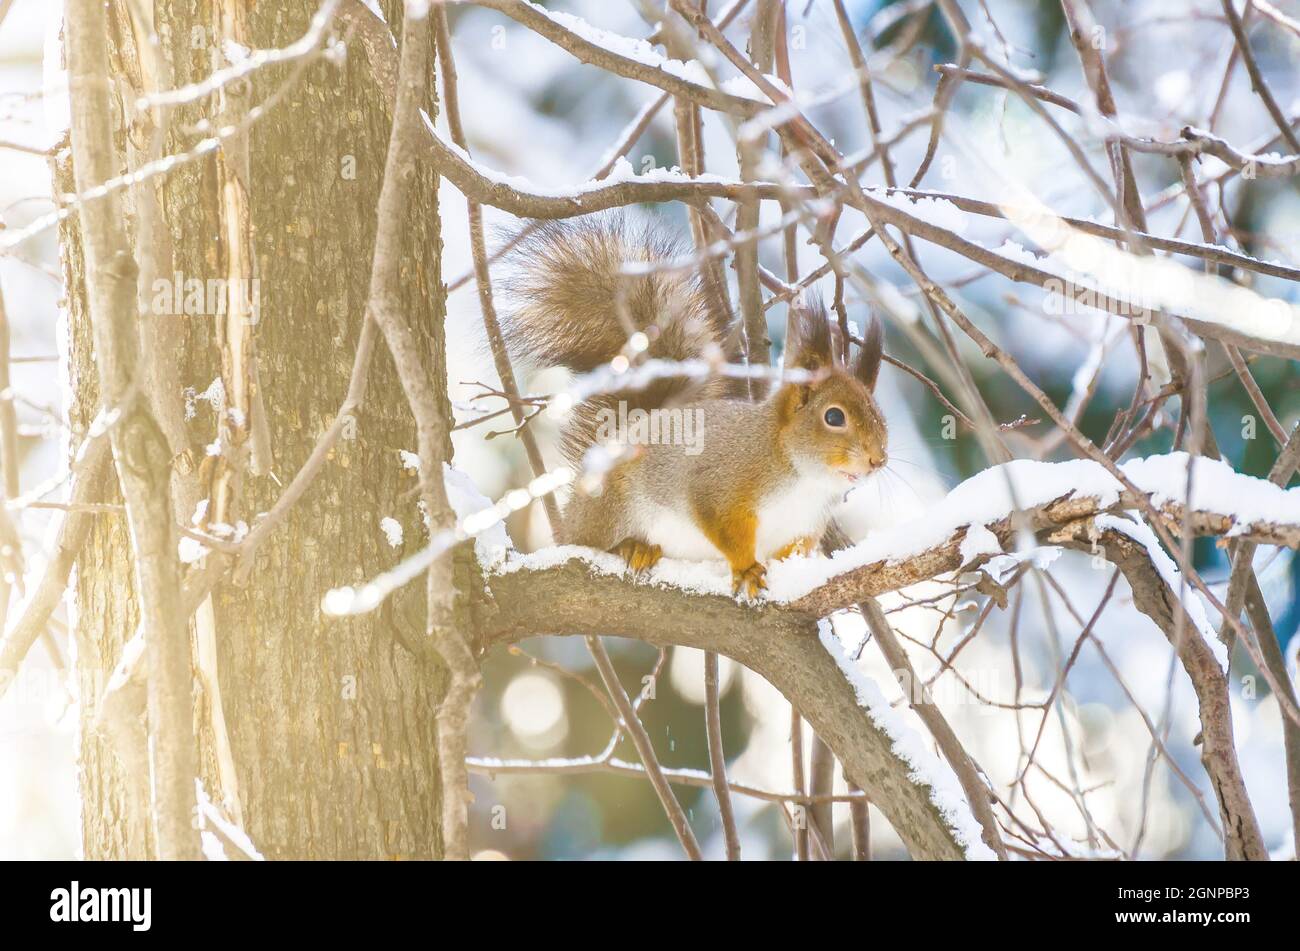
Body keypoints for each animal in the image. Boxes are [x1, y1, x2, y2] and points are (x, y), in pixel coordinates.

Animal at [503, 214, 888, 598]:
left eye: (881, 417)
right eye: (834, 416)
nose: (878, 460)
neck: (801, 474)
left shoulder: (804, 528)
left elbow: (790, 551)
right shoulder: (719, 485)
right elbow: (724, 527)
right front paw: (746, 568)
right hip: (610, 507)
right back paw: (633, 546)